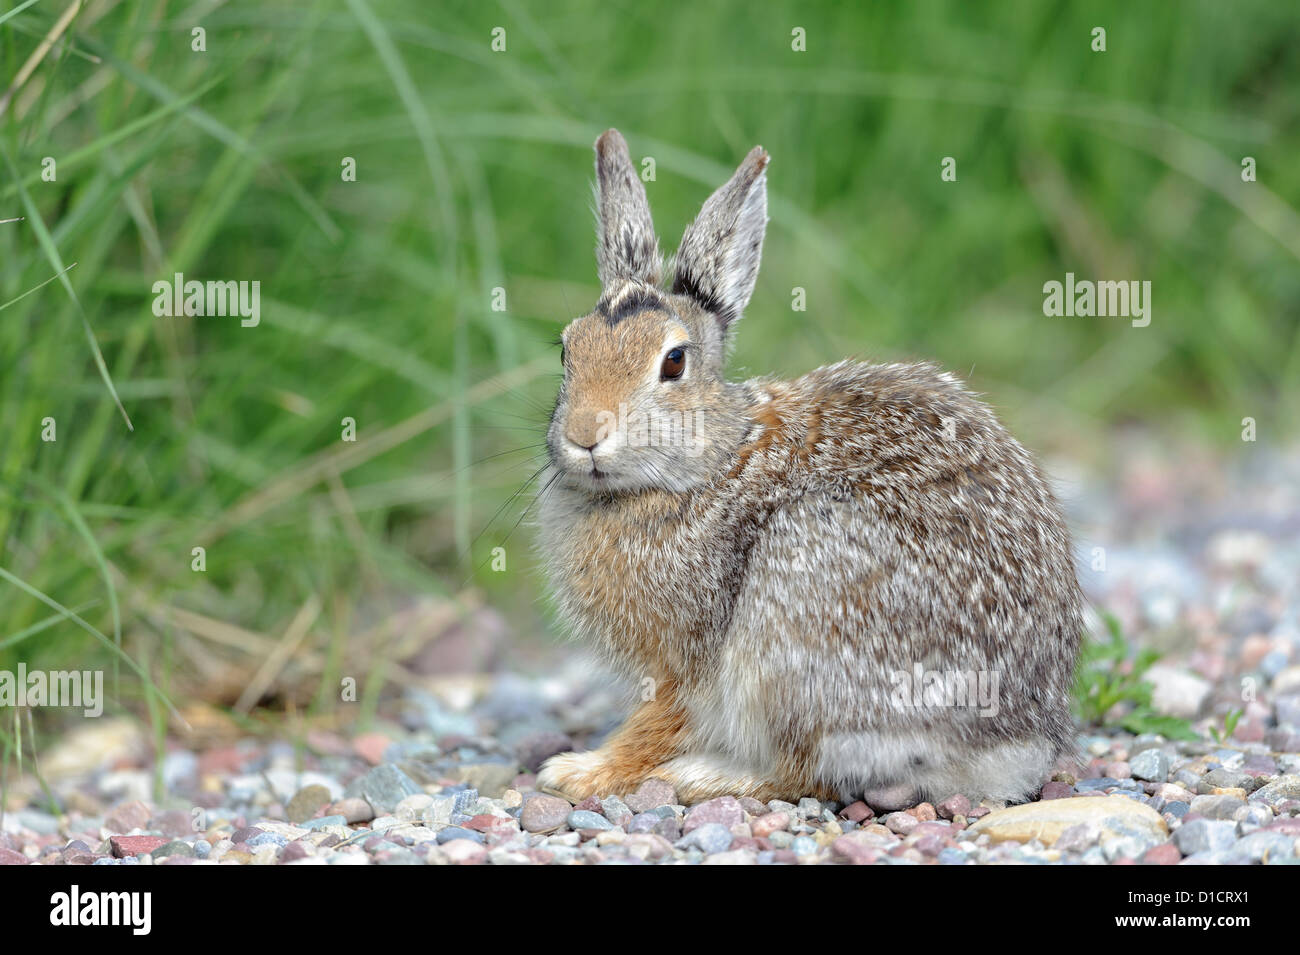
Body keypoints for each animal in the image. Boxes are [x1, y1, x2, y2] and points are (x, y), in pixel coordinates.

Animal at [535, 128, 1082, 808]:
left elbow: (658, 722)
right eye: (566, 351)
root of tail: (1014, 746)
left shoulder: (681, 664)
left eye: (674, 362)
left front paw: (579, 773)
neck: (714, 460)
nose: (585, 435)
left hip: (791, 627)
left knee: (804, 772)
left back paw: (705, 778)